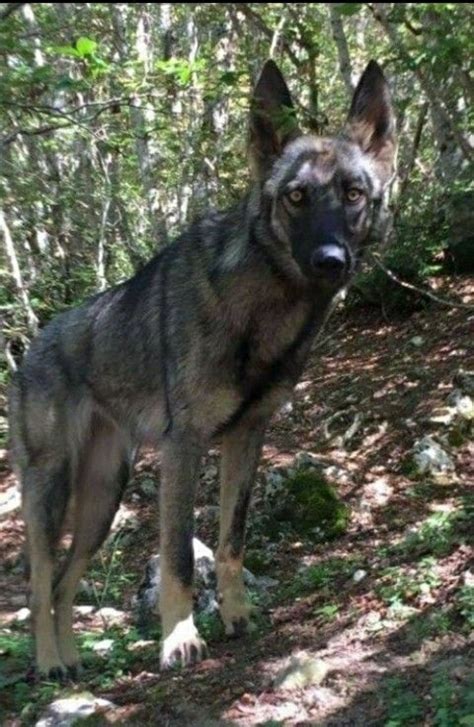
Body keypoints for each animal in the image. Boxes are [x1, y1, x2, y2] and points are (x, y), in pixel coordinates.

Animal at [8, 59, 396, 676]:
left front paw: (236, 616)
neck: (262, 309)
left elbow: (233, 541)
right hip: (51, 491)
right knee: (41, 581)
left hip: (101, 502)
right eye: (296, 197)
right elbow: (179, 559)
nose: (330, 261)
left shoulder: (247, 438)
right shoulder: (183, 446)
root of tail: (31, 351)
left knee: (66, 585)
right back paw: (49, 664)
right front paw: (180, 640)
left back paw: (71, 663)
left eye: (353, 194)